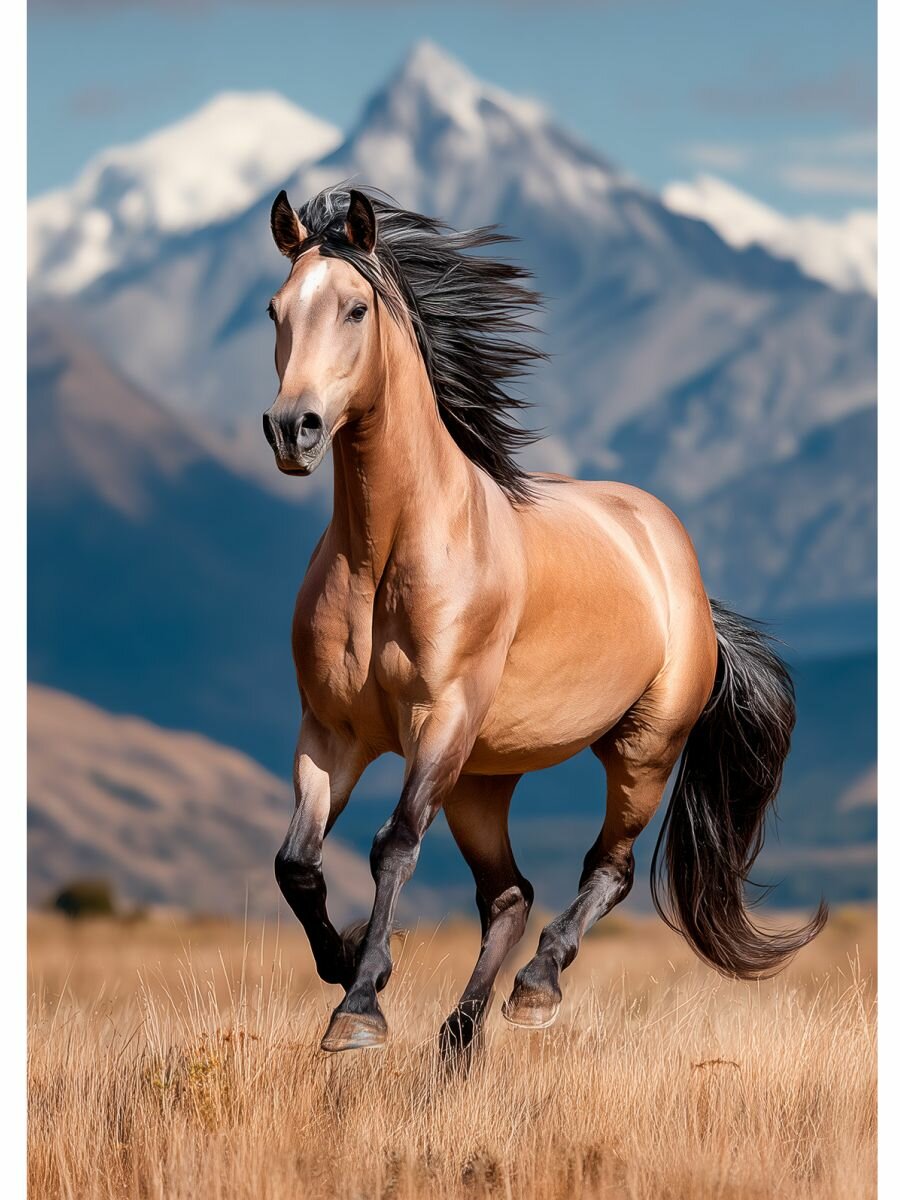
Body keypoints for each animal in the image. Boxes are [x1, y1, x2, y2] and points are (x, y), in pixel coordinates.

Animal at [263, 185, 826, 1055]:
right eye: (275, 310)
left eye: (355, 308)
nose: (294, 429)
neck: (386, 555)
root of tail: (683, 575)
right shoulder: (332, 732)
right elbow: (297, 862)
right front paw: (351, 964)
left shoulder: (440, 720)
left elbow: (394, 846)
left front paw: (359, 1006)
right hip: (482, 781)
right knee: (509, 895)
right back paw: (458, 1040)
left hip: (640, 752)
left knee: (607, 871)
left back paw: (534, 989)